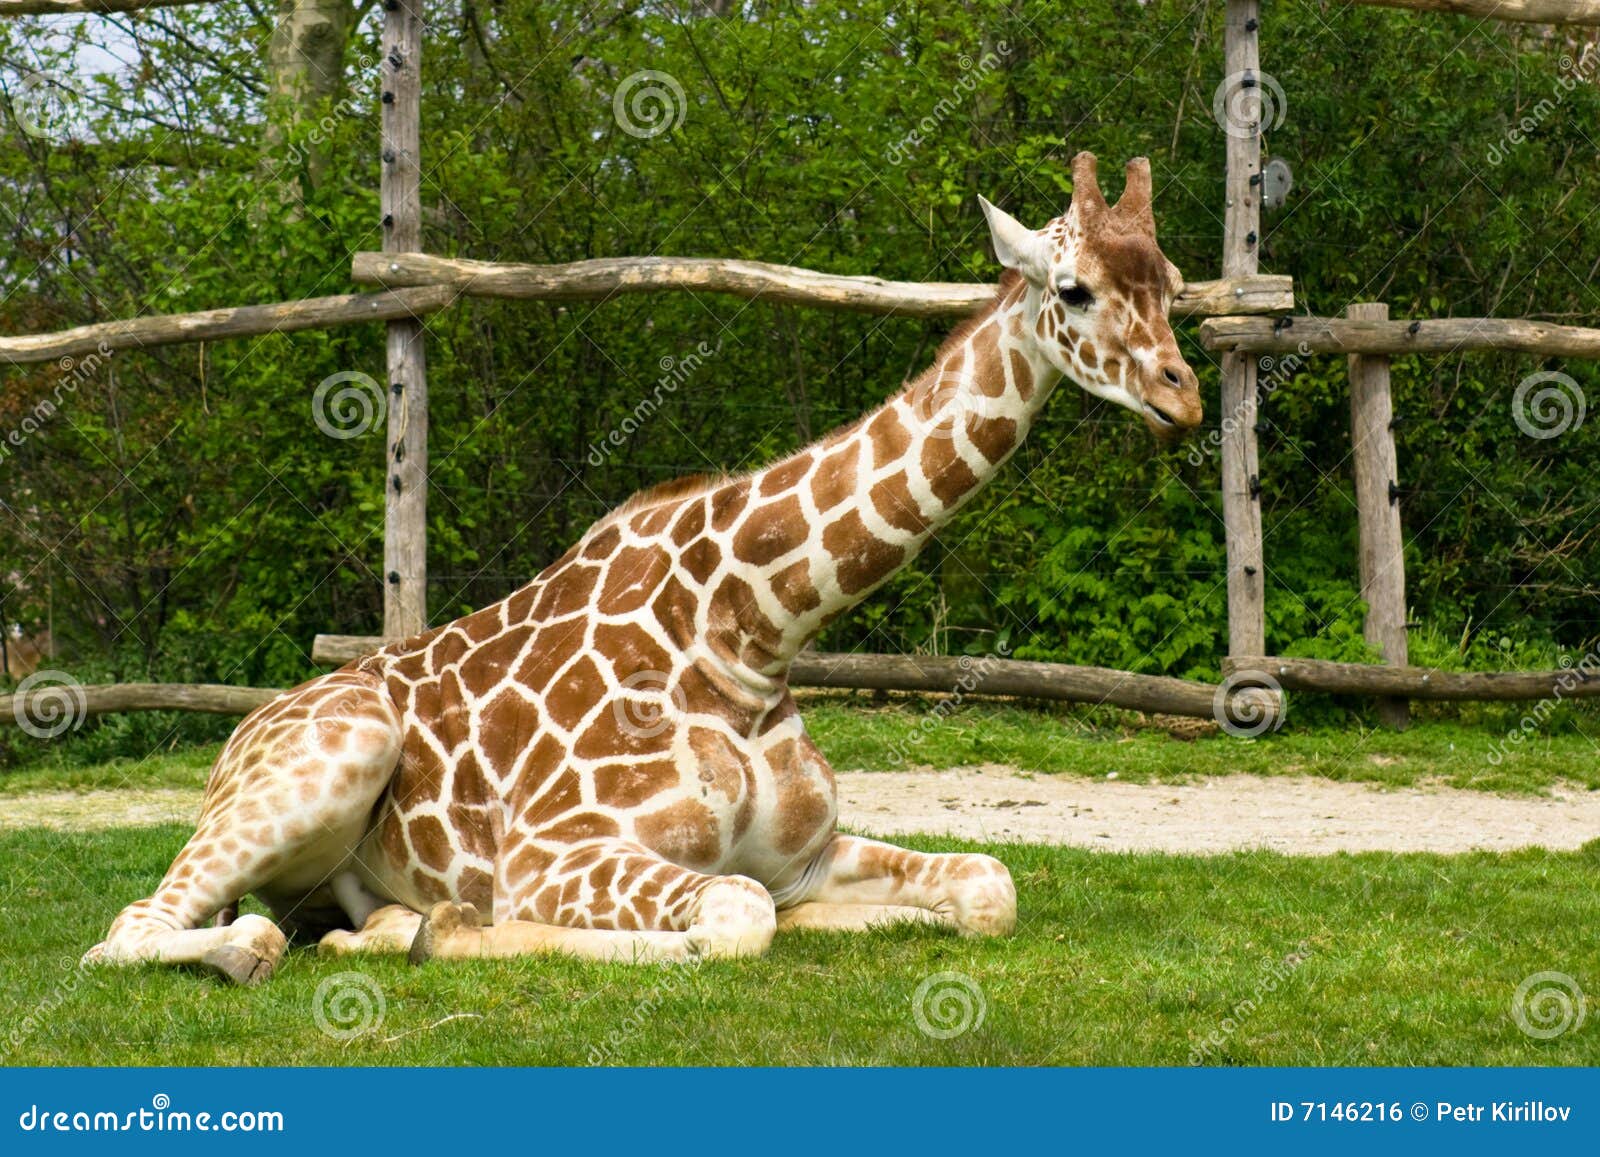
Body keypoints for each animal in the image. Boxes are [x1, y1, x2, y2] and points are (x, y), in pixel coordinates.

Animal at [86, 152, 1201, 982]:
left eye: (1176, 288)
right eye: (1073, 289)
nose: (1181, 395)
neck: (750, 627)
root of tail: (239, 735)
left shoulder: (807, 854)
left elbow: (986, 886)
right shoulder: (555, 855)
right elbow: (737, 916)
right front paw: (451, 925)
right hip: (335, 751)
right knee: (136, 929)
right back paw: (343, 936)